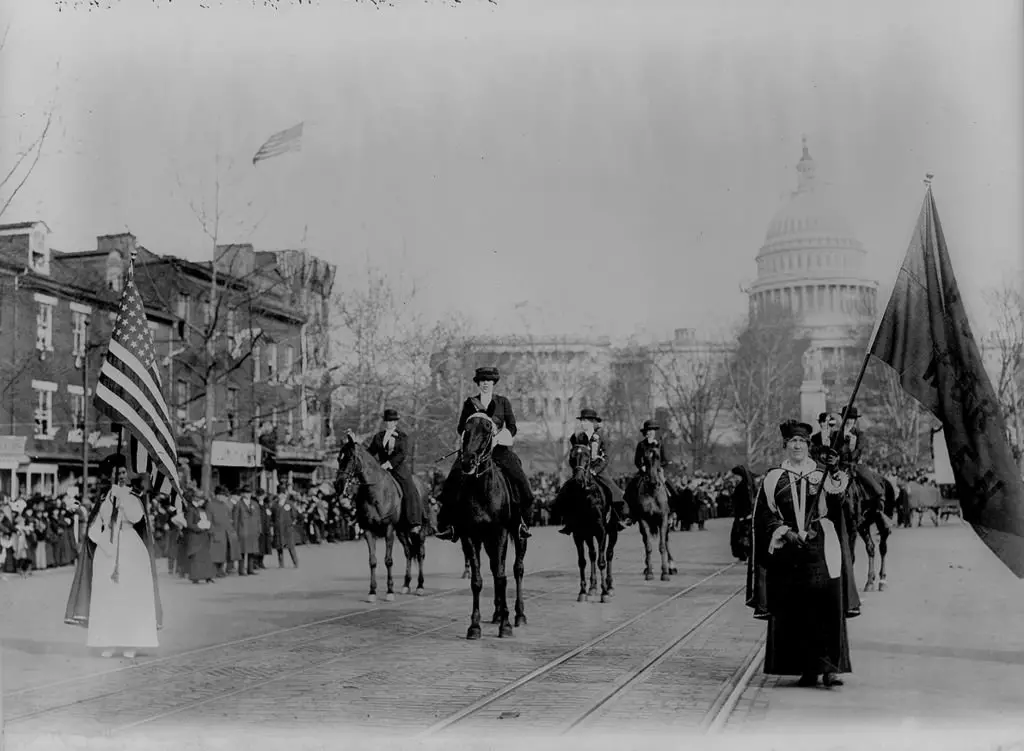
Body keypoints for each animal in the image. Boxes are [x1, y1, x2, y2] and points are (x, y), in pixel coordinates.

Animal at [335, 436, 428, 602]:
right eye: (339, 458)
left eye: (350, 458)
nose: (337, 484)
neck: (375, 493)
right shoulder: (368, 531)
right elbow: (372, 561)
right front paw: (372, 592)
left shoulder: (388, 529)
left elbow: (388, 560)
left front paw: (389, 591)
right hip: (401, 531)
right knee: (409, 551)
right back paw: (406, 584)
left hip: (419, 529)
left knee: (420, 553)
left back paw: (420, 586)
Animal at [460, 409, 532, 639]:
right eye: (466, 429)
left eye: (487, 430)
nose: (468, 461)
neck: (482, 490)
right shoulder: (470, 537)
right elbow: (477, 580)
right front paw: (474, 626)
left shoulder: (499, 533)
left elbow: (502, 577)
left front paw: (506, 625)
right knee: (494, 568)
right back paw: (498, 613)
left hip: (518, 535)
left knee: (517, 569)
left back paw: (519, 614)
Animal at [565, 442, 618, 602]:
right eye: (571, 457)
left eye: (587, 458)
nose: (578, 480)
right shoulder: (578, 534)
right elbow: (582, 561)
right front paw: (582, 591)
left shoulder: (601, 531)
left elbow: (602, 561)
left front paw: (604, 592)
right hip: (589, 535)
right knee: (592, 555)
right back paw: (592, 587)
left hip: (612, 532)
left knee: (608, 554)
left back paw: (609, 586)